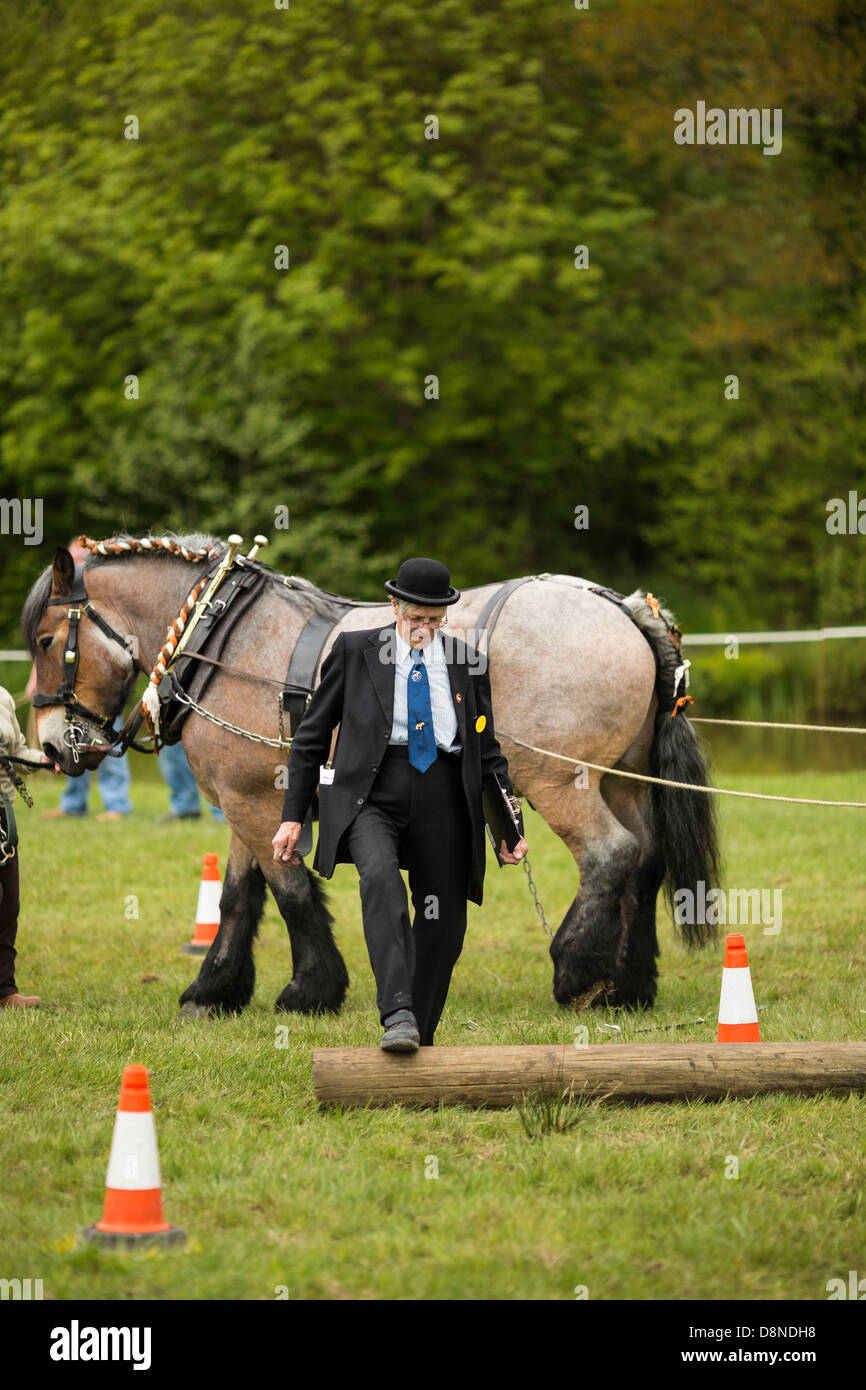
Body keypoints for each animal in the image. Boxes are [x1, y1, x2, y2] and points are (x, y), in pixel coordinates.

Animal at [21, 532, 721, 1018]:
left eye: (48, 641)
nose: (53, 743)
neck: (222, 635)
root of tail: (624, 608)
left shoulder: (252, 800)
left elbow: (290, 892)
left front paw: (310, 990)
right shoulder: (247, 800)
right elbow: (238, 895)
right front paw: (214, 989)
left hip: (561, 781)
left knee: (611, 854)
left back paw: (577, 971)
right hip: (623, 777)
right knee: (647, 859)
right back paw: (630, 985)